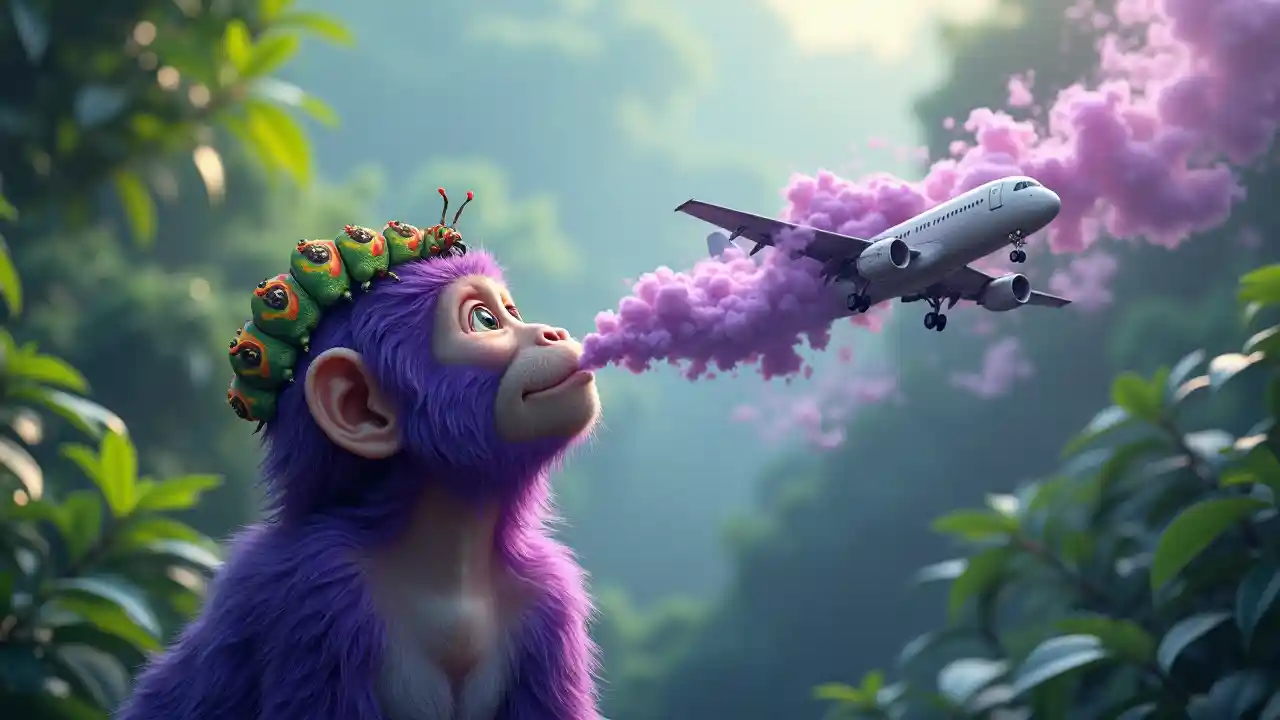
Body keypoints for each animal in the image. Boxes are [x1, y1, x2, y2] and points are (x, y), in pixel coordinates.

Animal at [116, 249, 603, 719]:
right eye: (485, 320)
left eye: (512, 311)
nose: (554, 334)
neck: (448, 557)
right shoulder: (315, 593)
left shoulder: (549, 597)